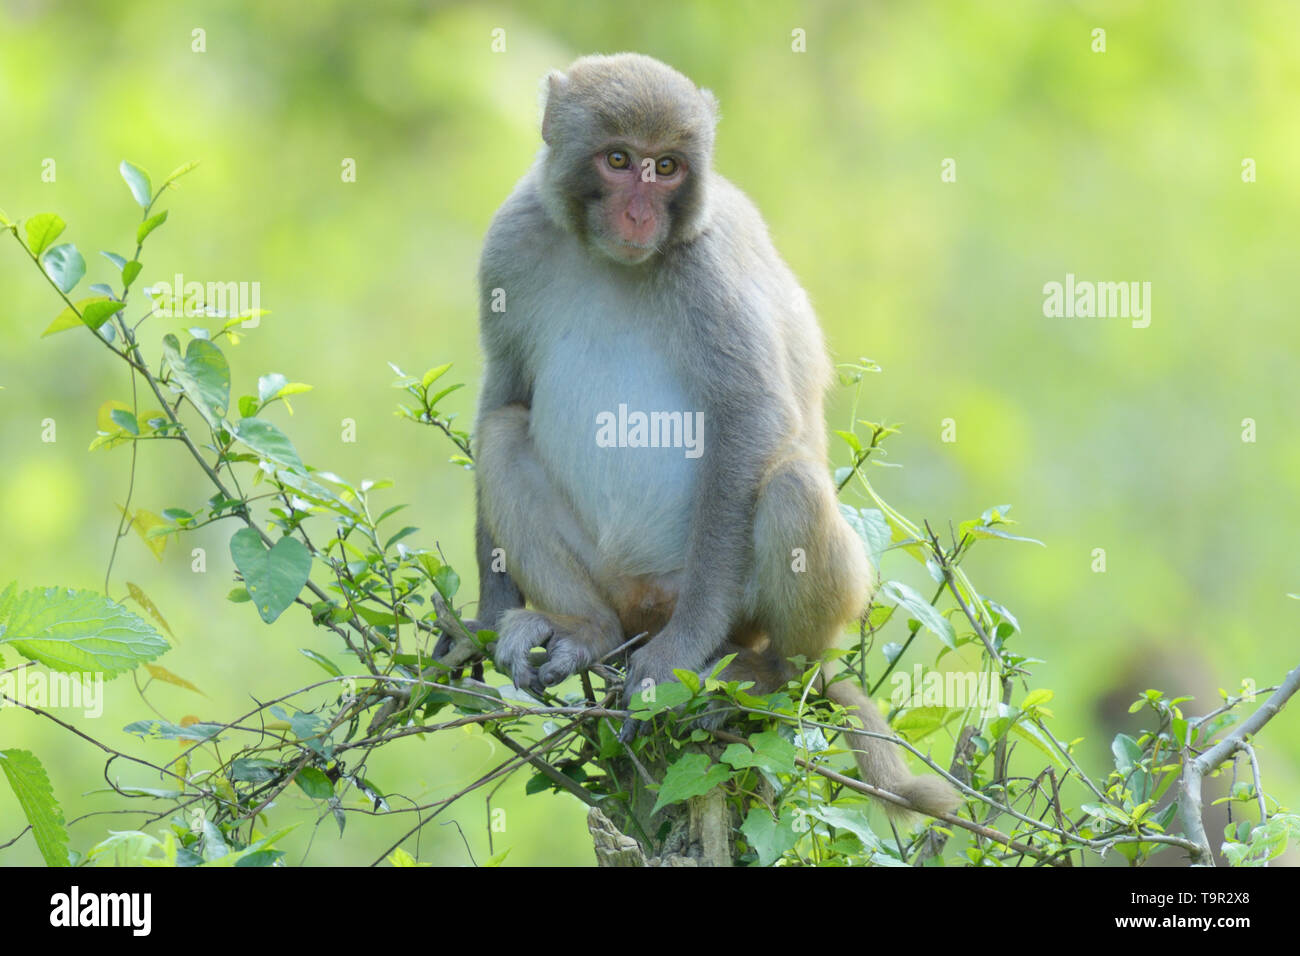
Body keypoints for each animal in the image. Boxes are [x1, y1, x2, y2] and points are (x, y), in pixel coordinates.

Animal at [464, 52, 958, 819]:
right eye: (618, 160)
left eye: (667, 167)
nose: (640, 213)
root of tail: (646, 602)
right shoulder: (512, 240)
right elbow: (506, 390)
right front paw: (493, 611)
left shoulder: (706, 264)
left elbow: (750, 416)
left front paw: (675, 659)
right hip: (616, 585)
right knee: (503, 433)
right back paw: (586, 630)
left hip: (731, 600)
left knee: (788, 485)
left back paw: (769, 671)